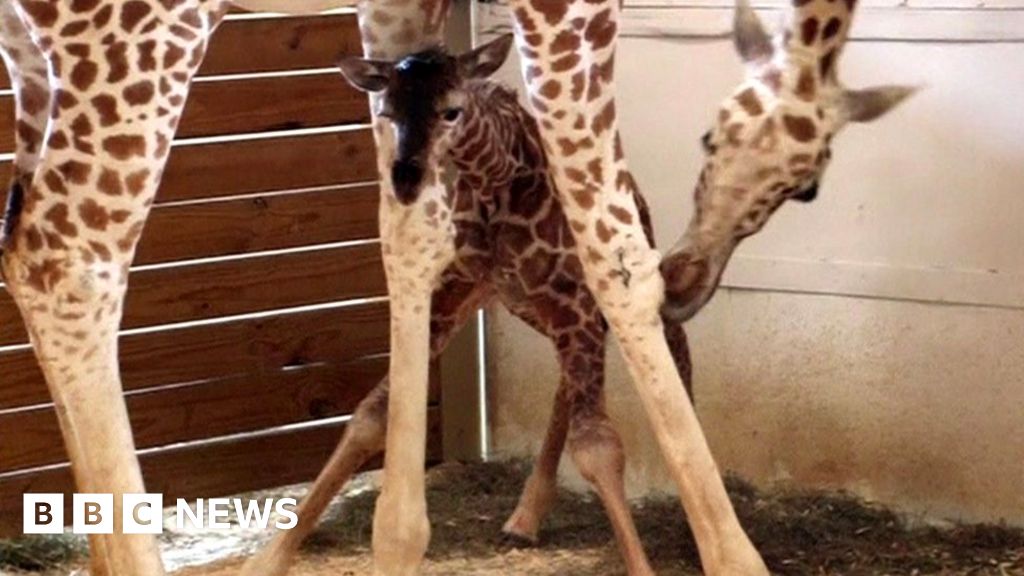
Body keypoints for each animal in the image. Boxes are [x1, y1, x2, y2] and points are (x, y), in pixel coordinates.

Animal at [241, 34, 693, 576]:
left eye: (451, 111)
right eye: (387, 112)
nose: (405, 180)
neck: (500, 186)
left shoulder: (577, 304)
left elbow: (599, 447)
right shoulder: (457, 291)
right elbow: (372, 413)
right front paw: (269, 558)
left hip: (611, 301)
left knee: (675, 355)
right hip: (543, 312)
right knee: (566, 390)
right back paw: (522, 519)